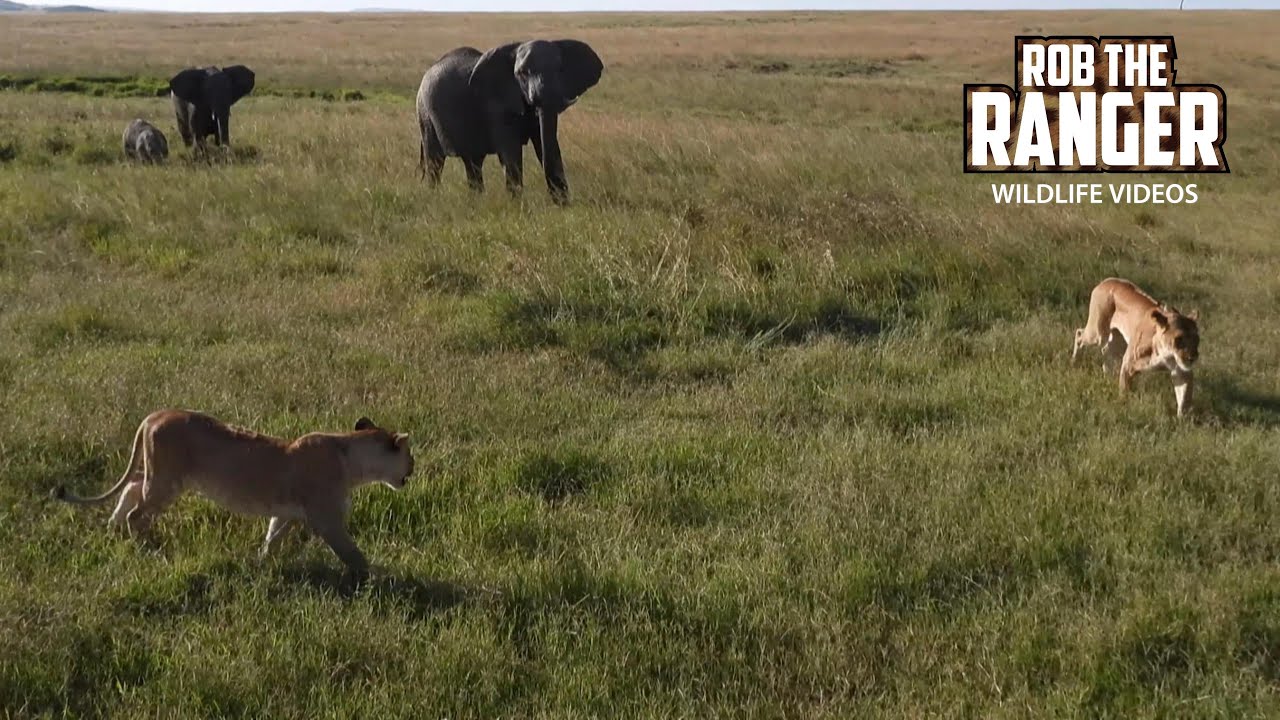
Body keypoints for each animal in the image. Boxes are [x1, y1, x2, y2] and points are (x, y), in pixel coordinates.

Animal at [53, 409, 413, 579]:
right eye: (409, 454)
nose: (412, 469)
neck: (351, 459)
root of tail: (154, 415)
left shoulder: (285, 513)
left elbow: (272, 539)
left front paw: (261, 563)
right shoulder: (326, 519)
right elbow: (353, 553)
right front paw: (376, 578)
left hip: (157, 475)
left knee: (130, 488)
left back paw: (112, 527)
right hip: (166, 482)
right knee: (137, 513)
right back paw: (149, 549)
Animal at [415, 39, 603, 204]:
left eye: (560, 69)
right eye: (522, 73)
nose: (560, 201)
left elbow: (546, 144)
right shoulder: (497, 105)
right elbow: (511, 153)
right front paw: (517, 206)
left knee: (473, 162)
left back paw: (477, 201)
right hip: (425, 114)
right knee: (435, 162)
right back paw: (435, 197)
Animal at [1071, 277, 1200, 417]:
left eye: (1197, 339)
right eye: (1178, 339)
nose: (1192, 357)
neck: (1166, 353)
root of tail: (1107, 280)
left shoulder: (1182, 372)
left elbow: (1184, 400)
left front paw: (1182, 420)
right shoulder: (1128, 364)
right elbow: (1124, 391)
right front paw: (1123, 407)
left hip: (1117, 343)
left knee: (1106, 351)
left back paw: (1107, 376)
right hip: (1098, 334)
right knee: (1079, 334)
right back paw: (1074, 362)